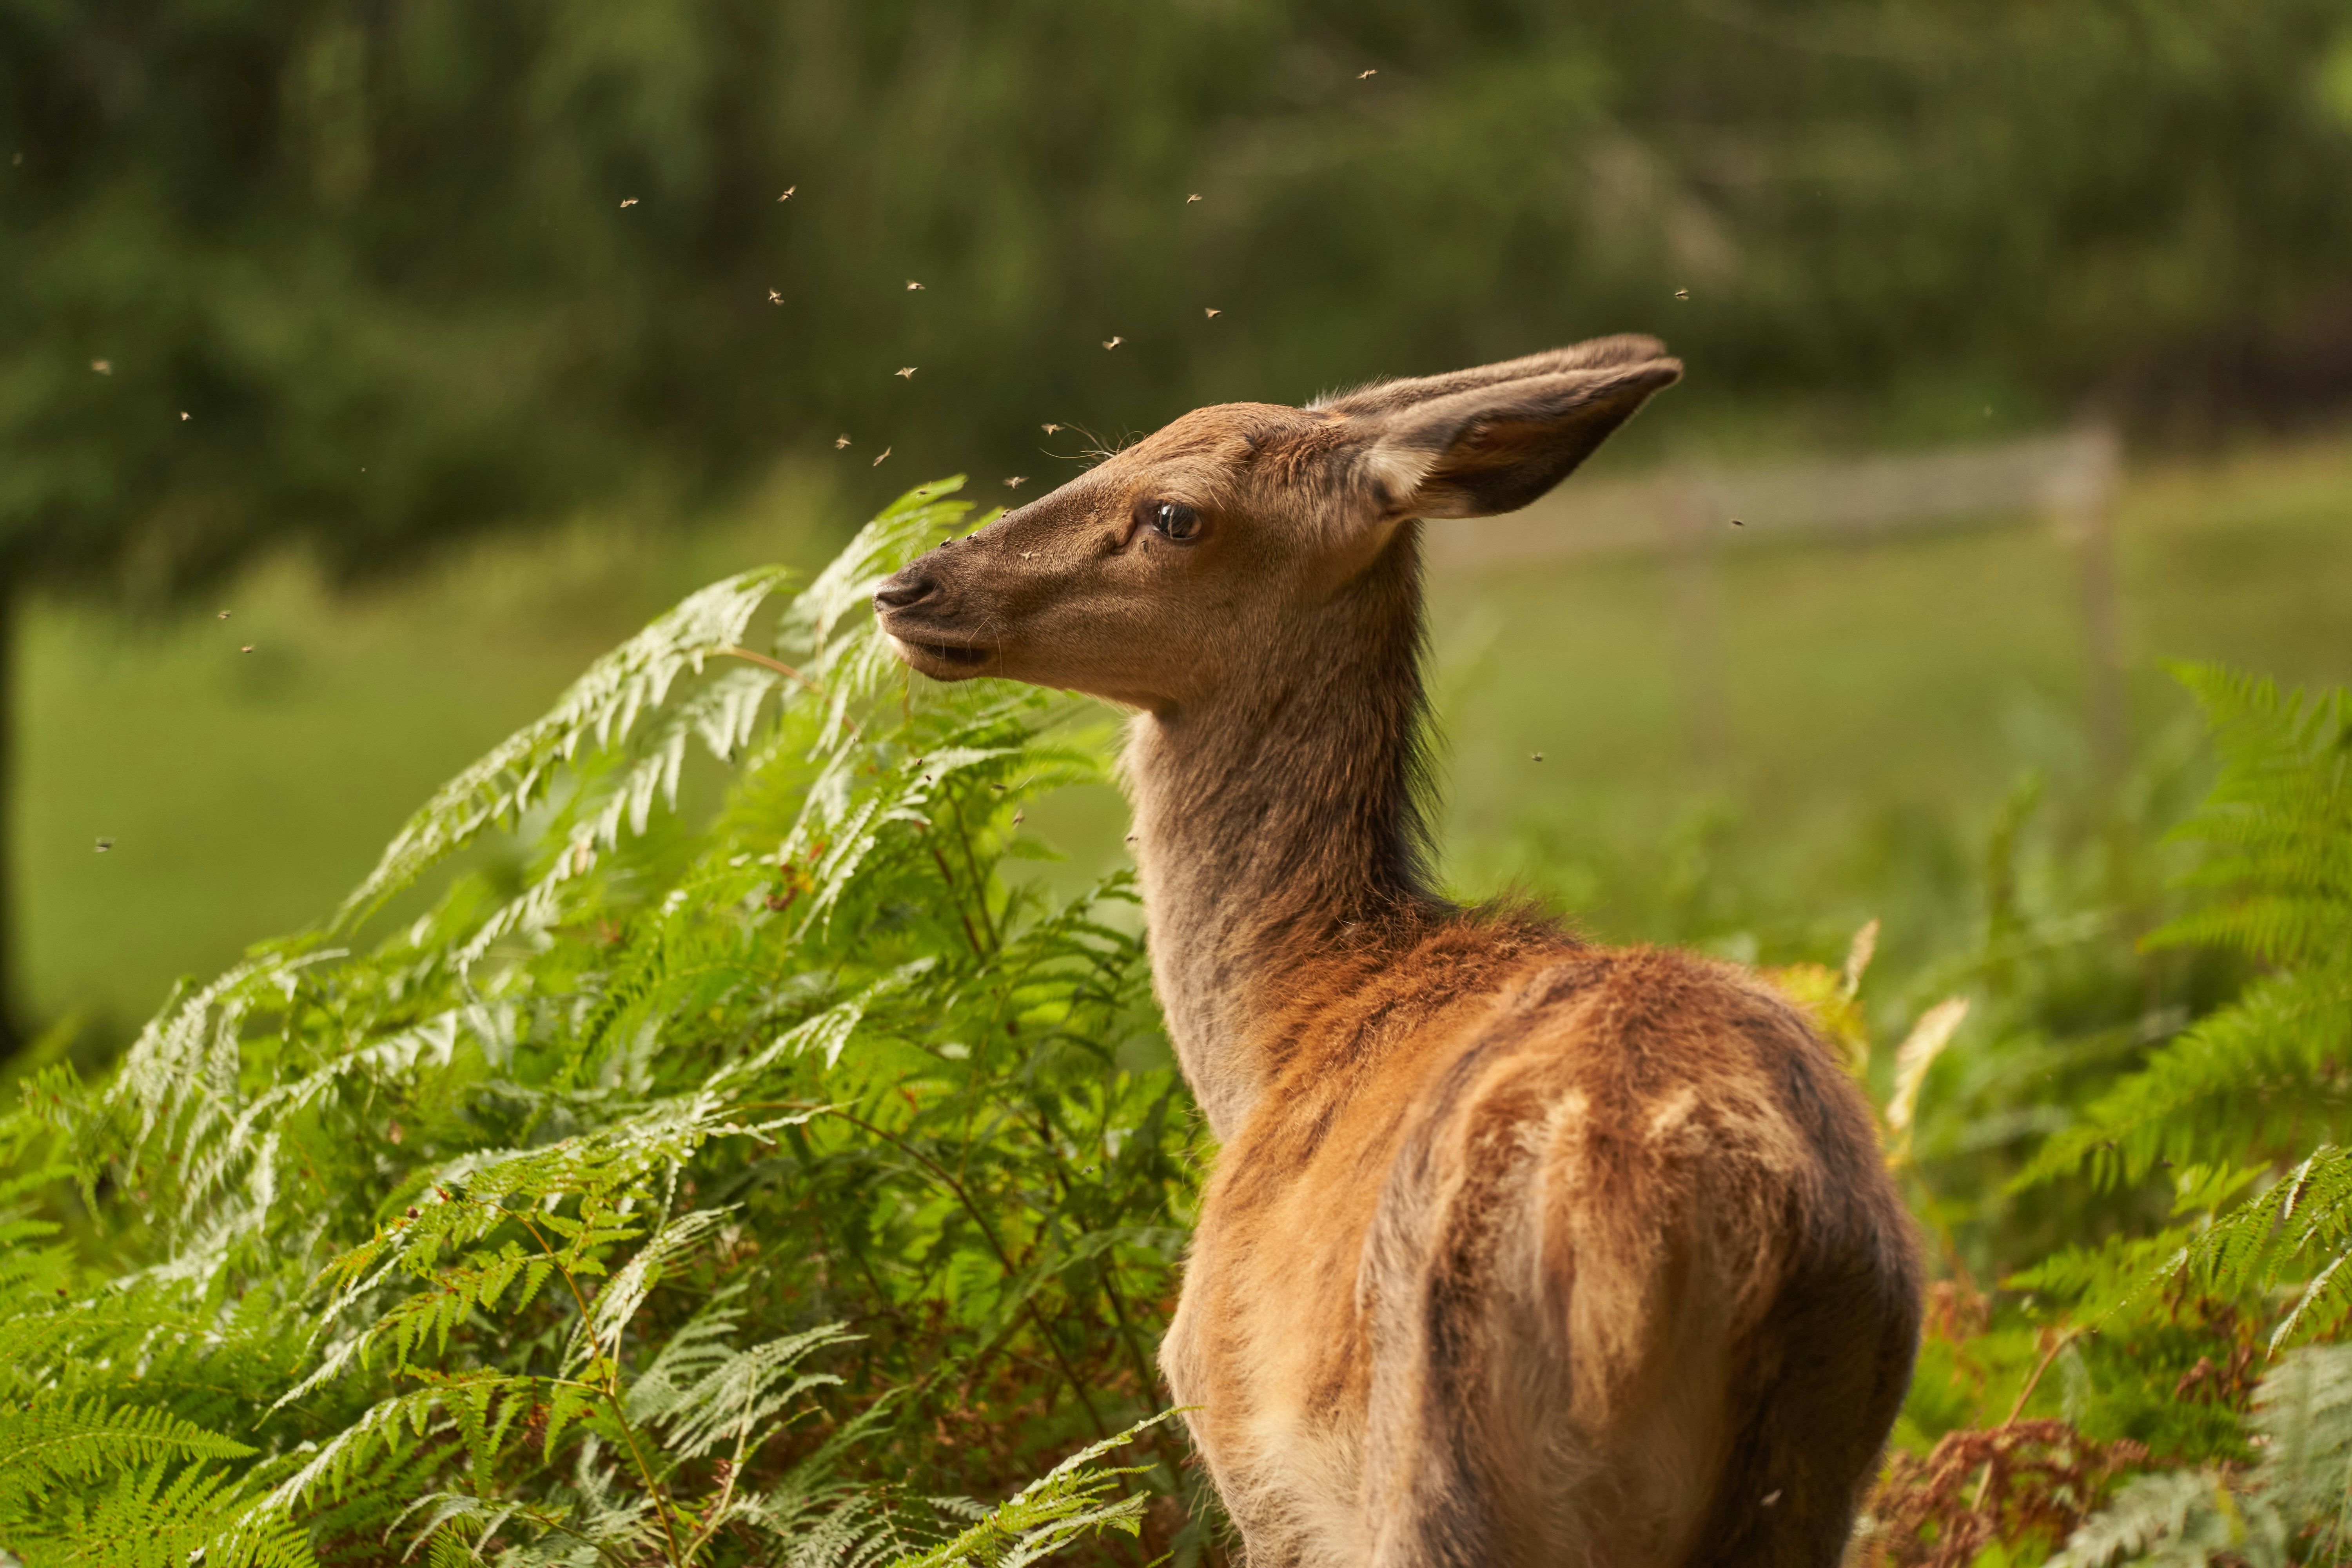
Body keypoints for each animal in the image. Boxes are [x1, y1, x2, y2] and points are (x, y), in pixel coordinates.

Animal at [874, 336, 1921, 1568]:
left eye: (1175, 512)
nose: (909, 585)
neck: (1281, 1030)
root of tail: (1705, 1226)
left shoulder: (1251, 1454)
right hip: (1820, 1454)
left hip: (1437, 1451)